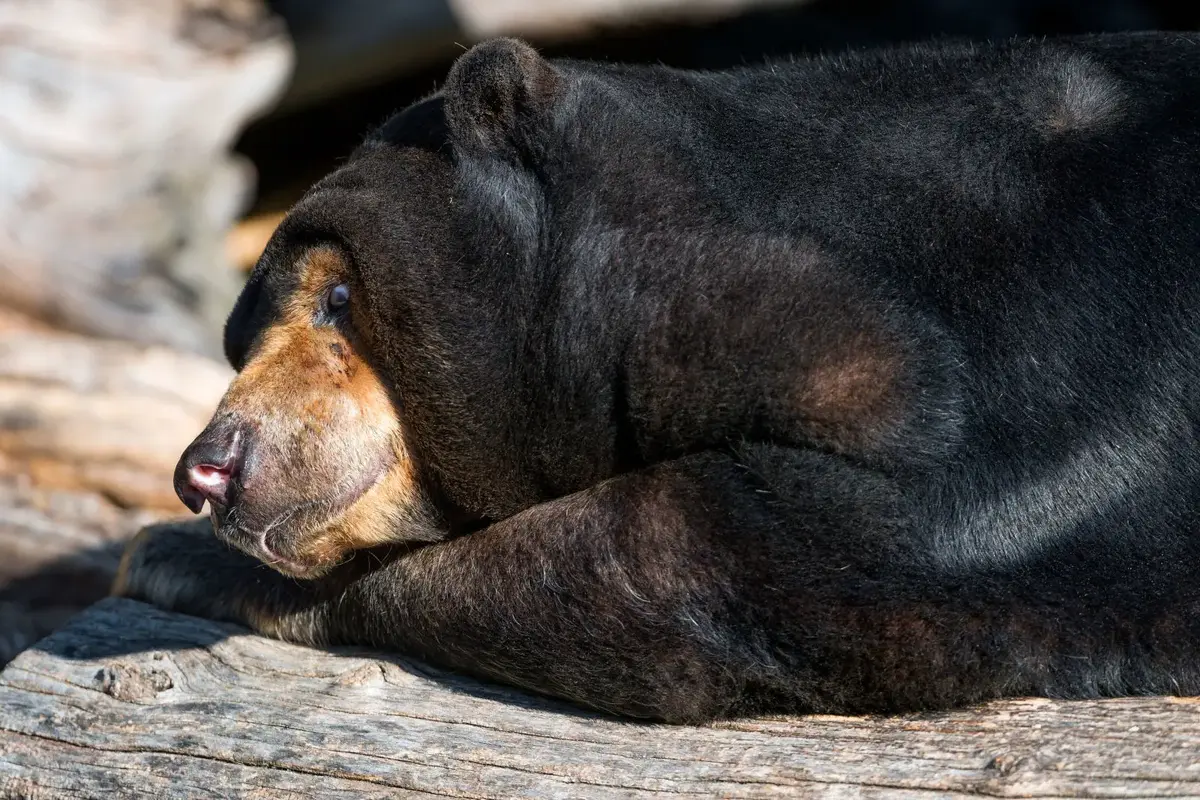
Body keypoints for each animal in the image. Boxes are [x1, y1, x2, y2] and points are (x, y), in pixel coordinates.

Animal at [116, 32, 1200, 723]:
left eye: (337, 297)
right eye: (239, 339)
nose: (209, 467)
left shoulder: (1066, 361)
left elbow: (774, 550)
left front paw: (174, 559)